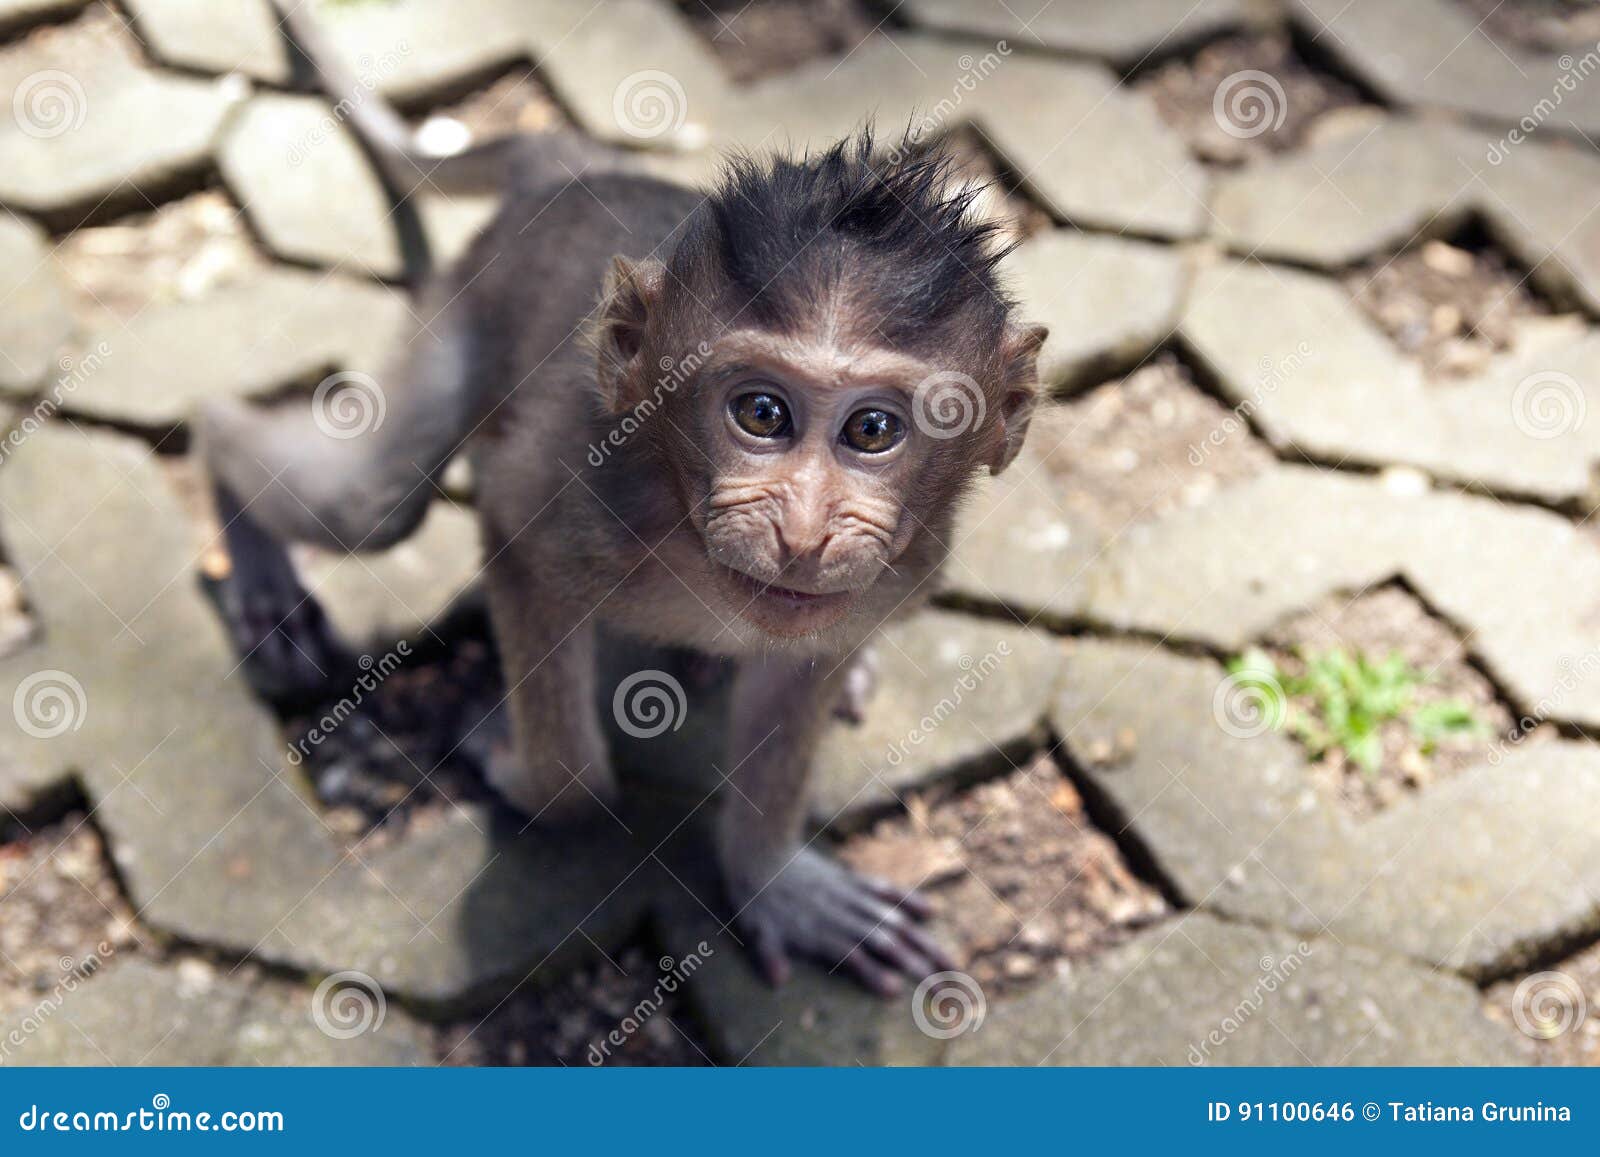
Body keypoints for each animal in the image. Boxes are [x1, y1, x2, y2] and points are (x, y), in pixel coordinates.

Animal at [199, 0, 1047, 995]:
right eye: (761, 412)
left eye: (874, 430)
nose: (801, 532)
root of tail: (566, 173)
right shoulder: (575, 498)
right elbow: (559, 718)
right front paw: (521, 770)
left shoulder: (897, 572)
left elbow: (804, 664)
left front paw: (775, 879)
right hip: (468, 306)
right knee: (377, 499)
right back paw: (231, 492)